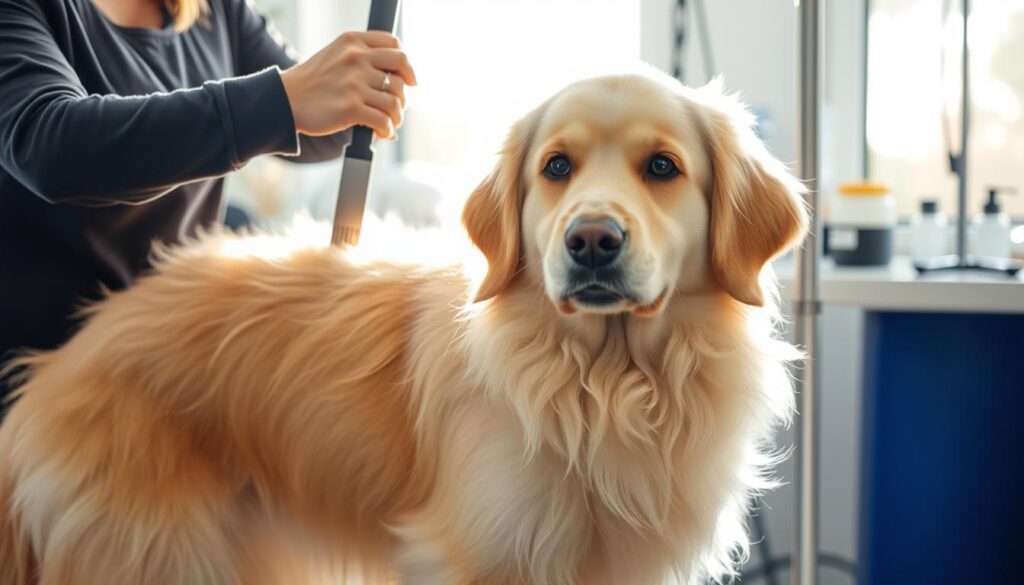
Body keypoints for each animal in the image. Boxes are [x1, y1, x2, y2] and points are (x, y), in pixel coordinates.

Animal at [0, 69, 806, 585]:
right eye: (556, 167)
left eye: (663, 167)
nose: (591, 241)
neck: (608, 383)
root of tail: (60, 363)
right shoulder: (474, 556)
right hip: (159, 553)